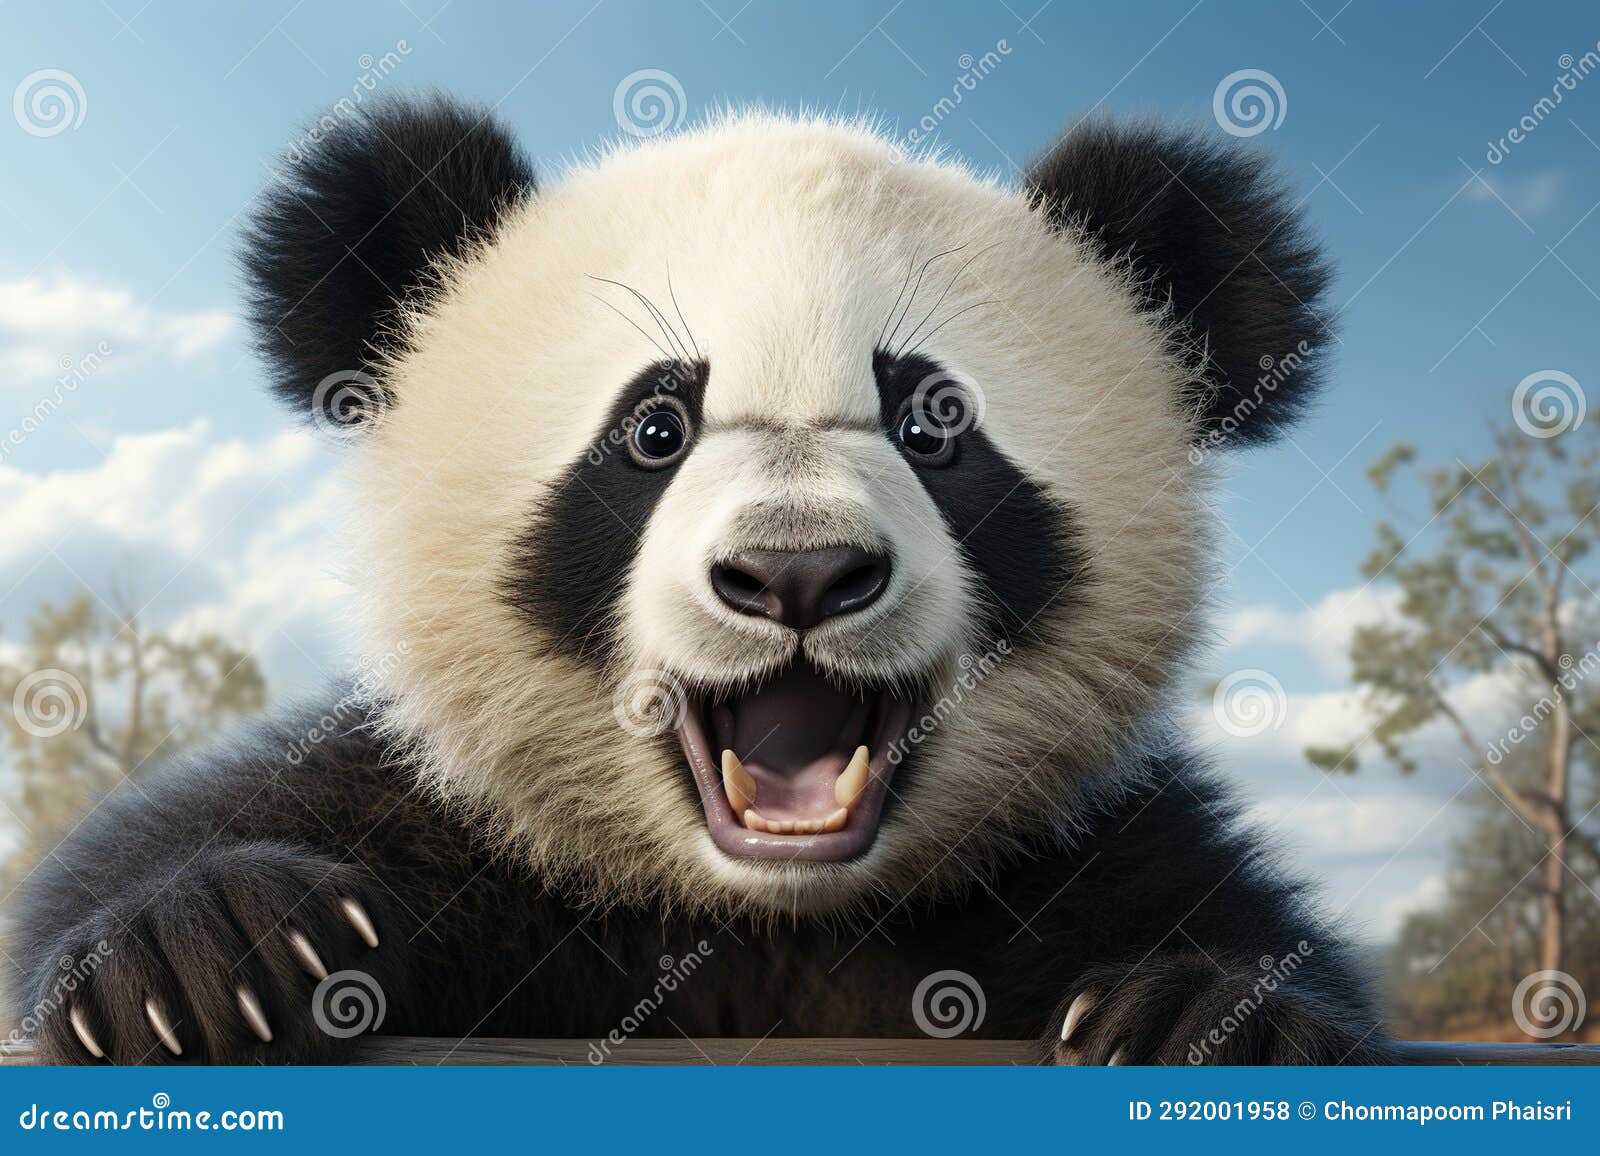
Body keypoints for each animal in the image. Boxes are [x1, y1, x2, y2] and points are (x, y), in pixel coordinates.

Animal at [10, 96, 1387, 1065]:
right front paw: (205, 954)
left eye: (934, 424)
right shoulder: (466, 834)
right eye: (654, 429)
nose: (797, 571)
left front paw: (1207, 1018)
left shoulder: (1079, 856)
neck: (771, 919)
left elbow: (1246, 945)